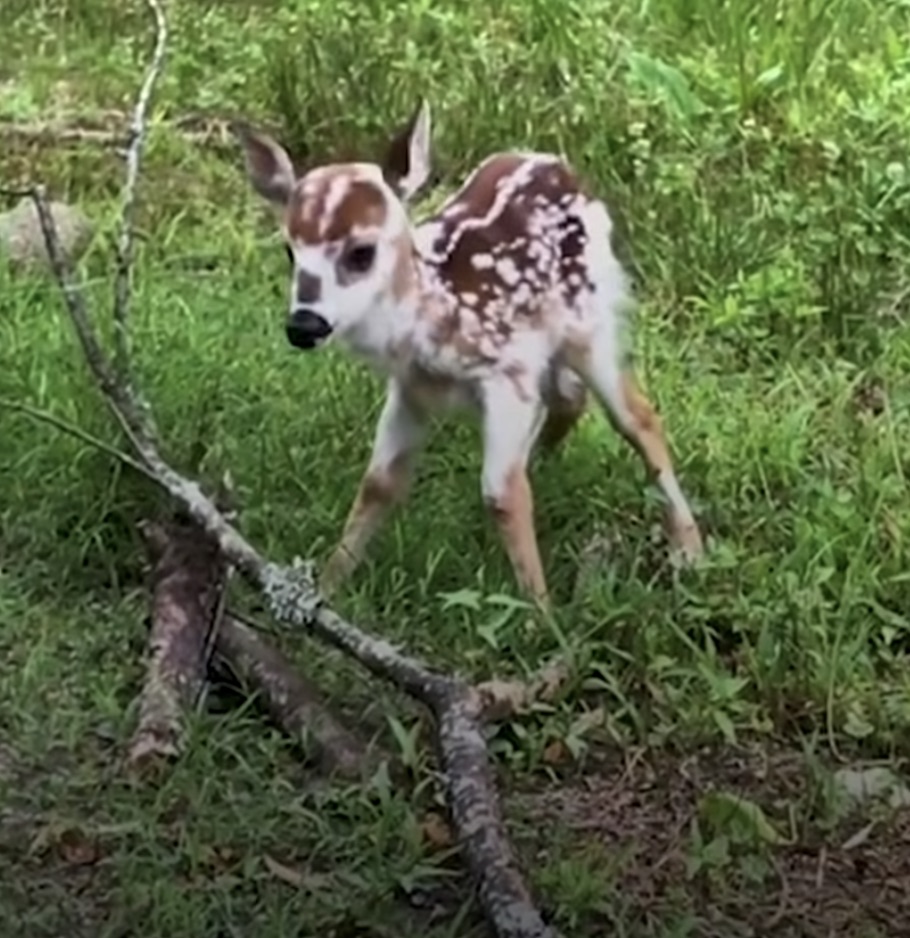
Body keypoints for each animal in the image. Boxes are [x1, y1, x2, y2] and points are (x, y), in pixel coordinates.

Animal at [231, 101, 704, 609]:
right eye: (289, 249)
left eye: (361, 252)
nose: (304, 324)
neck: (432, 320)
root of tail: (560, 167)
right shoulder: (410, 389)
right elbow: (379, 484)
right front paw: (324, 589)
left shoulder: (507, 375)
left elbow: (502, 494)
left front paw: (542, 614)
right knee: (570, 398)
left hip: (590, 320)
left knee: (637, 416)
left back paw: (689, 550)